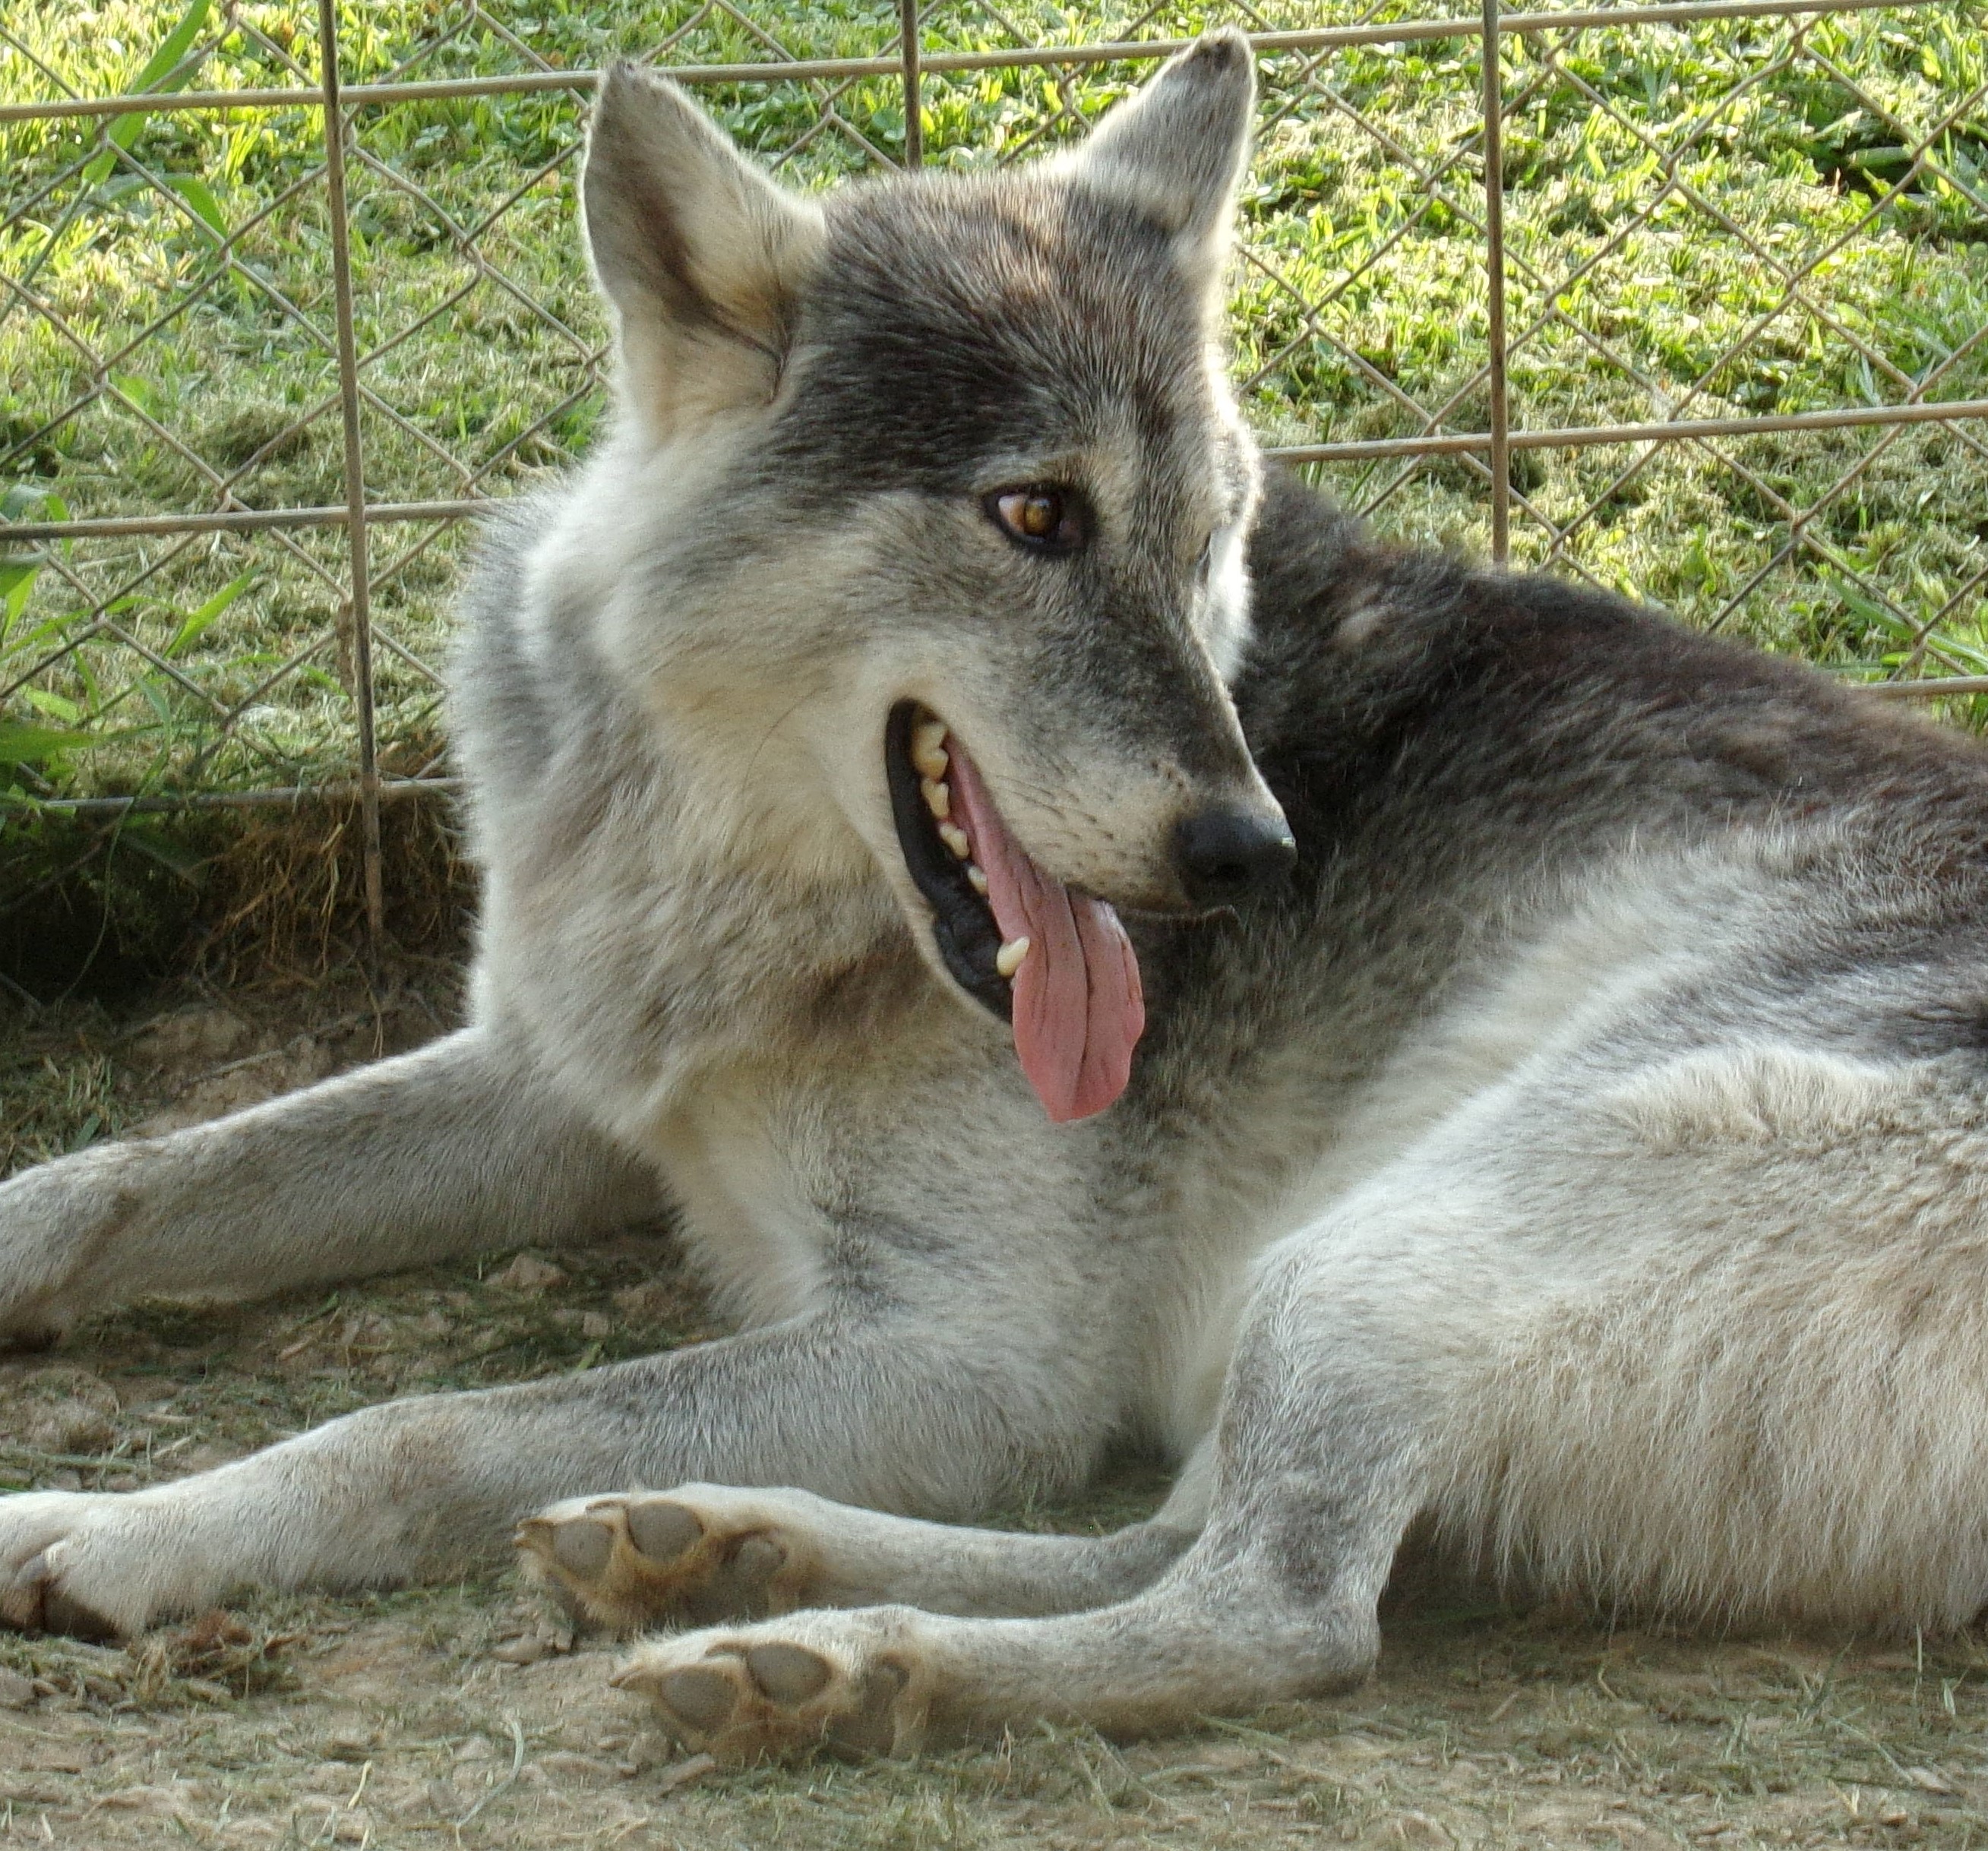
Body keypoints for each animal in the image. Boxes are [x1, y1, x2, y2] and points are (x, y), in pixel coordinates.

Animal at [5, 27, 1988, 1759]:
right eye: (1037, 517)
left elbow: (418, 1429)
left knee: (1274, 1613)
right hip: (1315, 1294)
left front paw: (128, 1533)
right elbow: (124, 1182)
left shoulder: (970, 1353)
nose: (1251, 854)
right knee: (1169, 1541)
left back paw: (832, 1663)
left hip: (1379, 1249)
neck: (731, 876)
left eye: (1203, 541)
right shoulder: (563, 1081)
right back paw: (720, 1548)